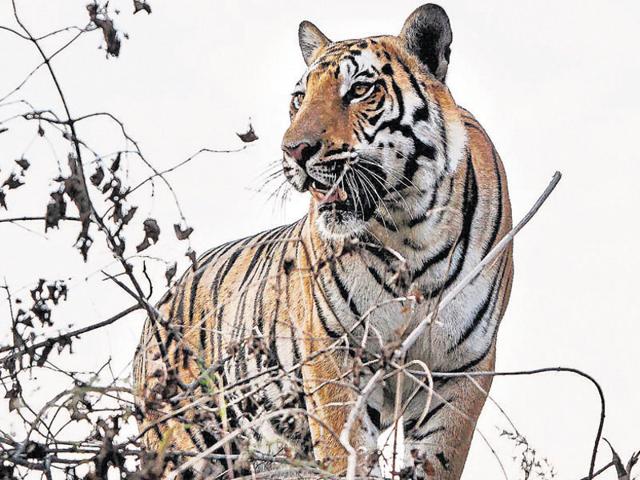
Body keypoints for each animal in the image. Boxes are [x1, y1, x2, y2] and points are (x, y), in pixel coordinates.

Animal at [133, 4, 513, 479]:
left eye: (360, 90)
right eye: (299, 98)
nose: (294, 150)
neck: (411, 232)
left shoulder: (460, 373)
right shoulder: (334, 359)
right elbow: (345, 453)